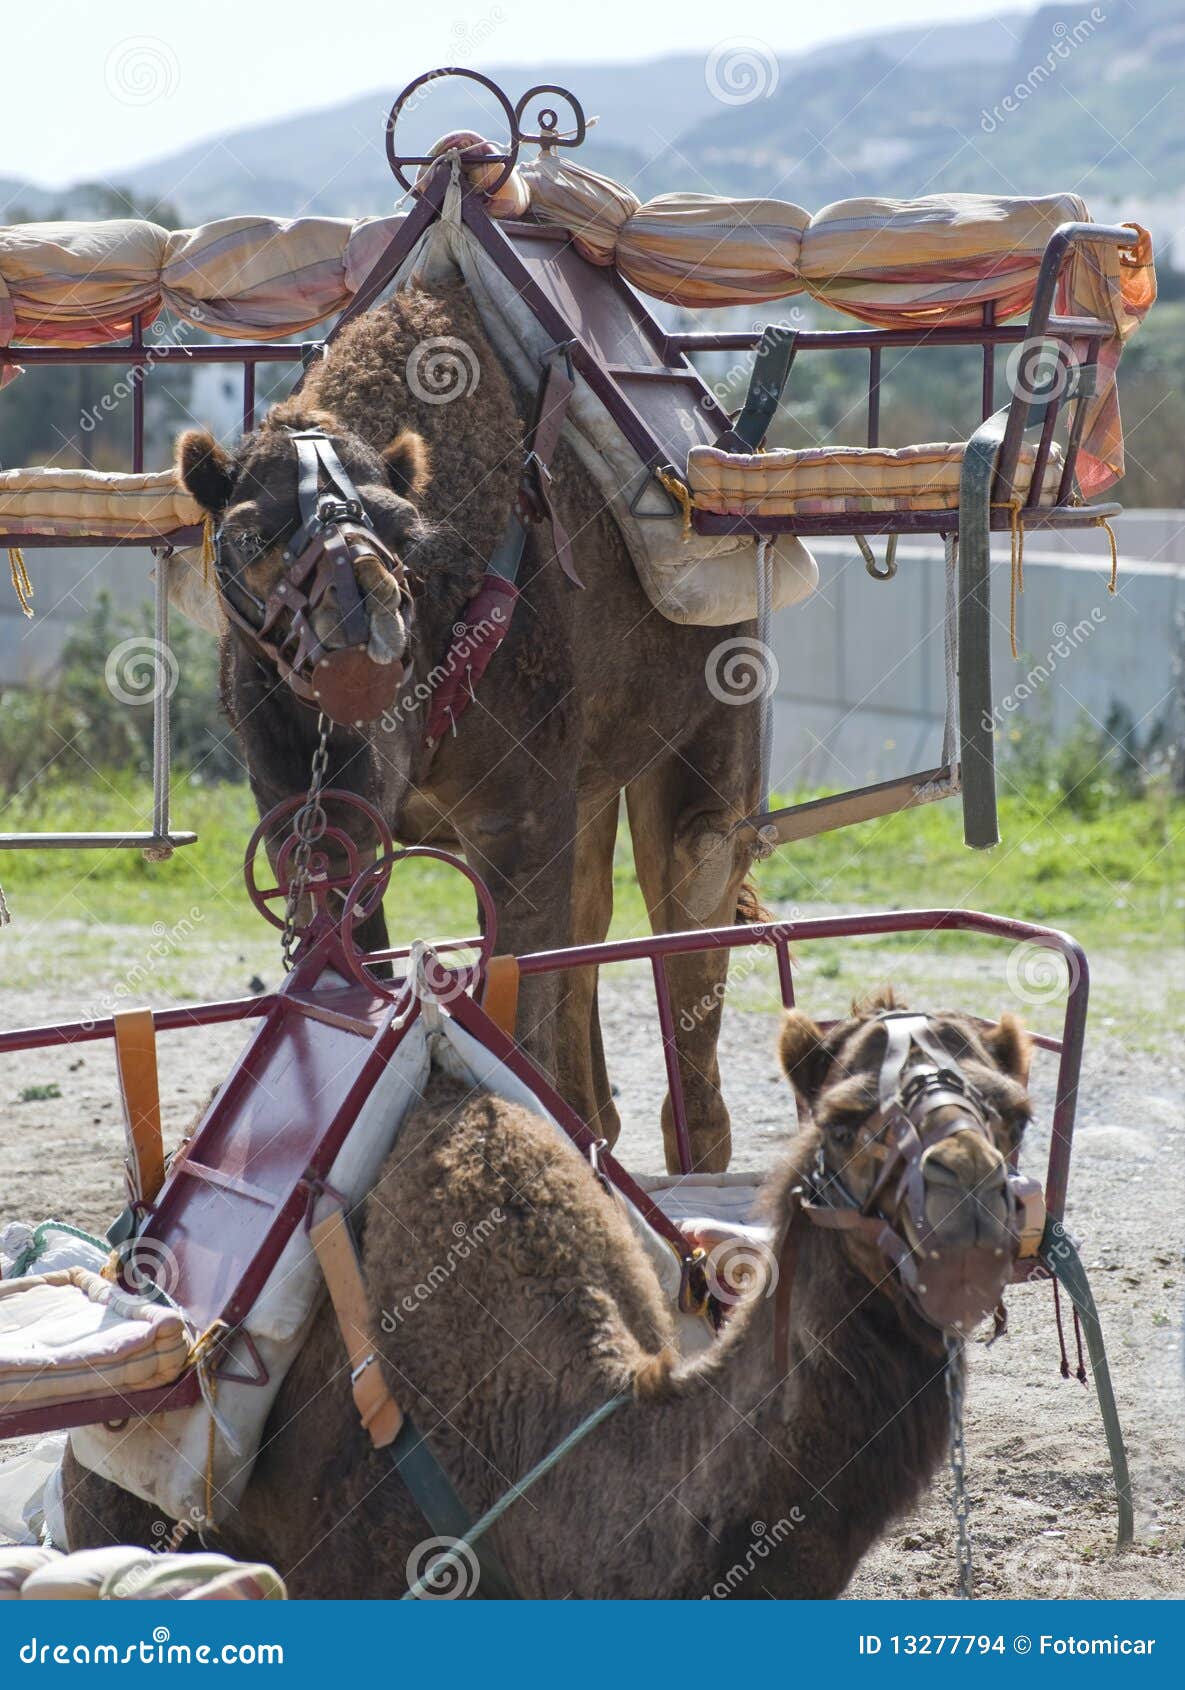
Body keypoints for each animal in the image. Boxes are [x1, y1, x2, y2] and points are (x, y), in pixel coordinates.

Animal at [176, 281, 763, 1174]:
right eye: (248, 535)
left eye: (400, 526)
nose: (361, 632)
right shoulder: (302, 807)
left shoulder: (513, 812)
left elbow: (520, 968)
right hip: (589, 778)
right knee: (594, 907)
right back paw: (598, 1122)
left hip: (716, 692)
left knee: (691, 877)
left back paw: (695, 1151)